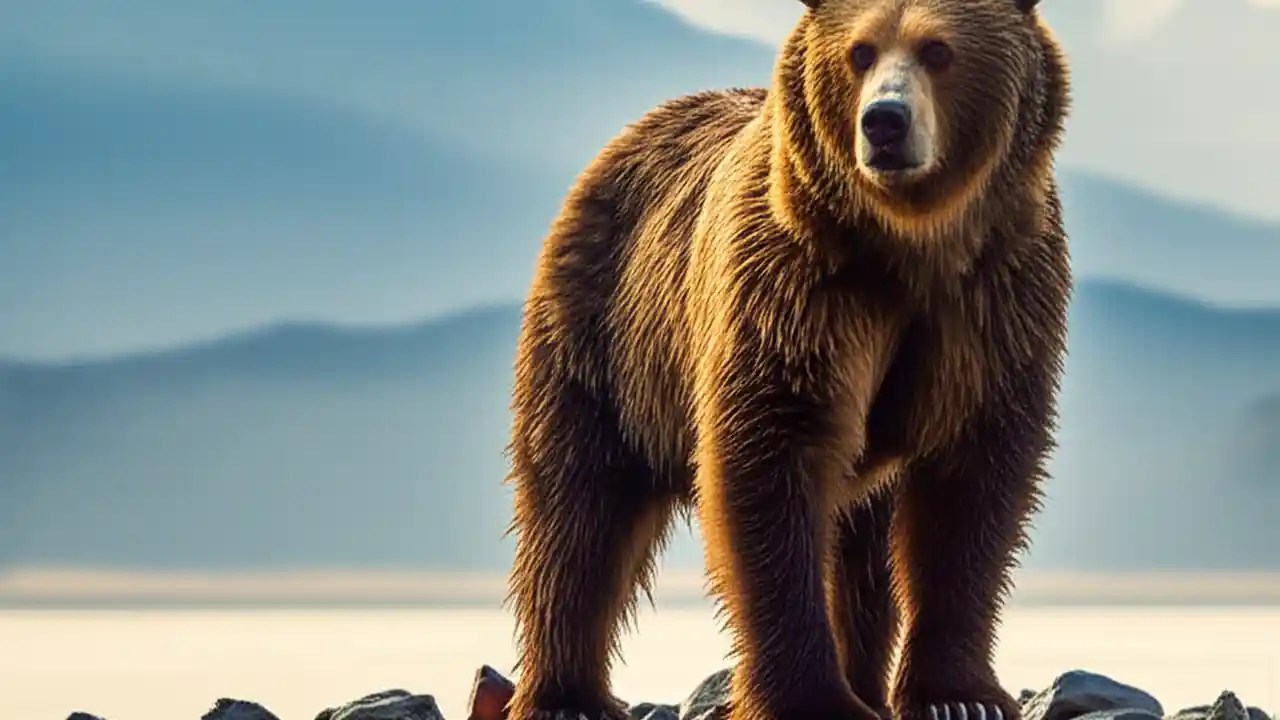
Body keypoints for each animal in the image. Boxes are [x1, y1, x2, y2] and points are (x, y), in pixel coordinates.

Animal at [502, 0, 1071, 718]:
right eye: (860, 52)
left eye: (939, 50)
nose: (884, 122)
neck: (907, 247)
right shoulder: (796, 291)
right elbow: (769, 463)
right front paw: (812, 695)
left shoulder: (993, 305)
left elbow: (971, 486)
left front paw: (959, 696)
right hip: (606, 338)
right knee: (580, 507)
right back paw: (566, 693)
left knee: (863, 554)